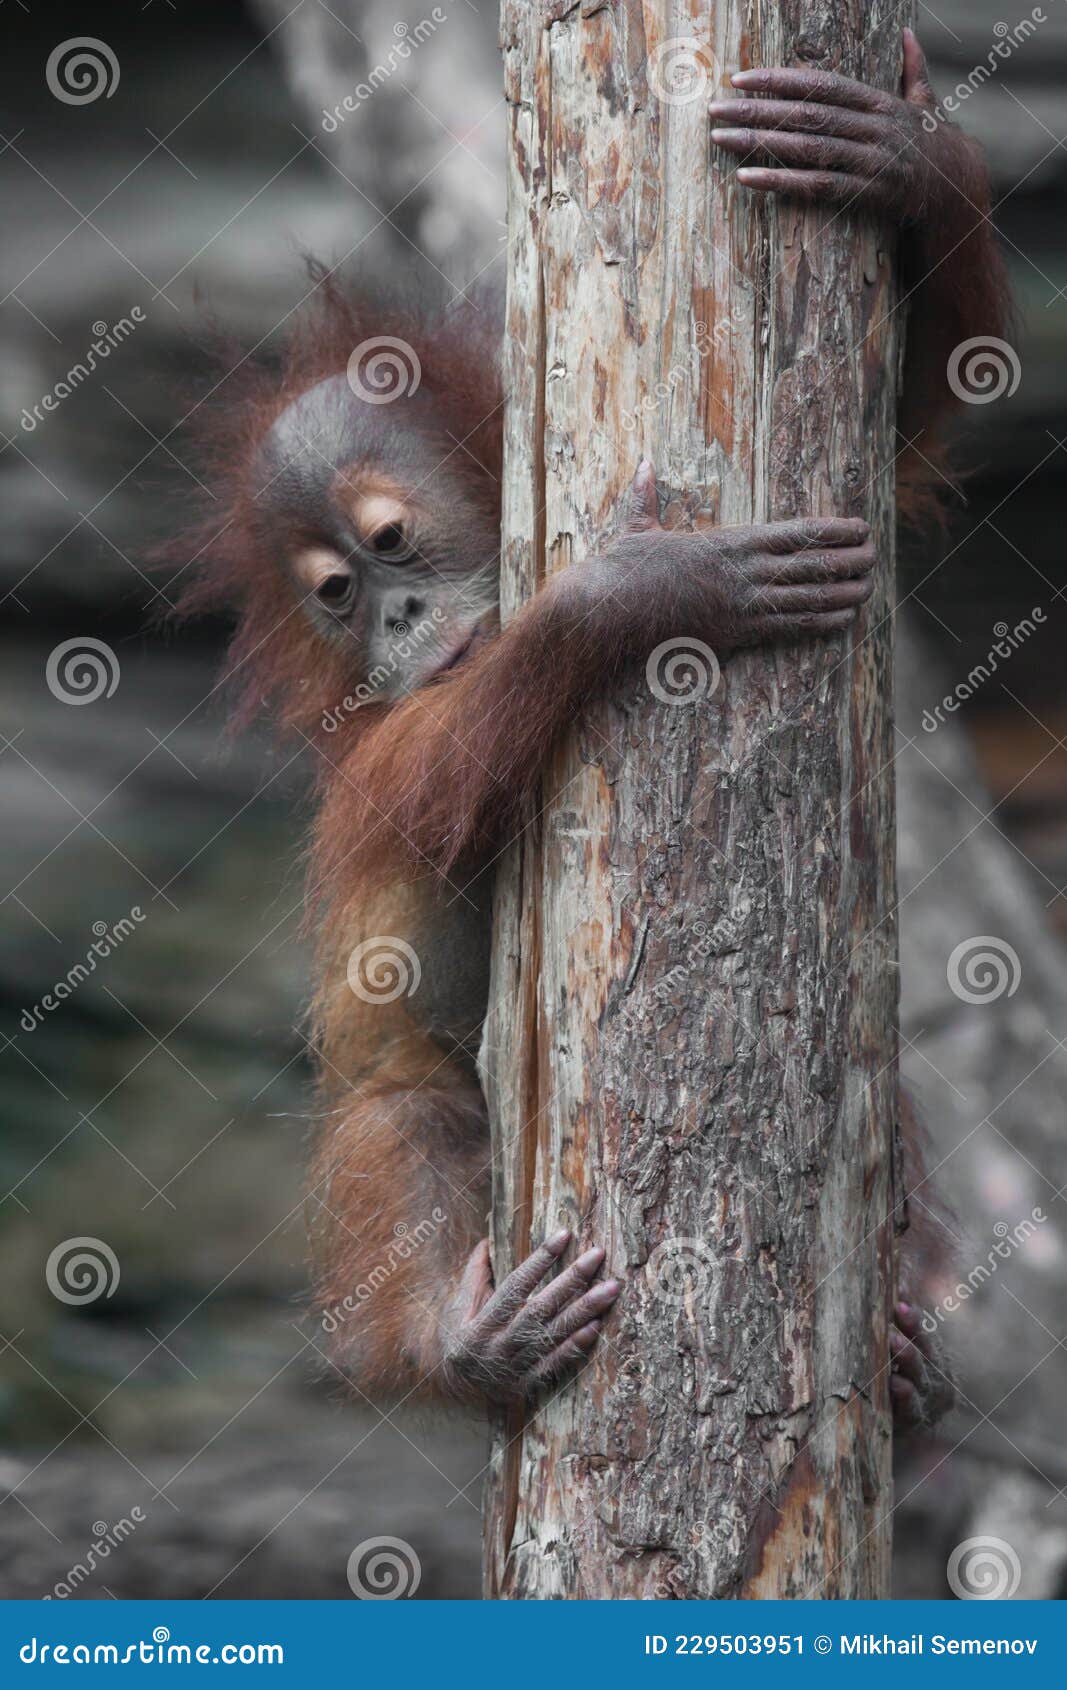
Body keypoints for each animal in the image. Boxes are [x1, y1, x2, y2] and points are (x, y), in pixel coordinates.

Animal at [181, 31, 1008, 1431]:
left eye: (391, 542)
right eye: (335, 594)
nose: (396, 615)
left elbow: (921, 402)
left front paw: (900, 152)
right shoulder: (362, 761)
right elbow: (438, 777)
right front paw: (639, 590)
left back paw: (901, 1361)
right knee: (397, 1118)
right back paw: (463, 1345)